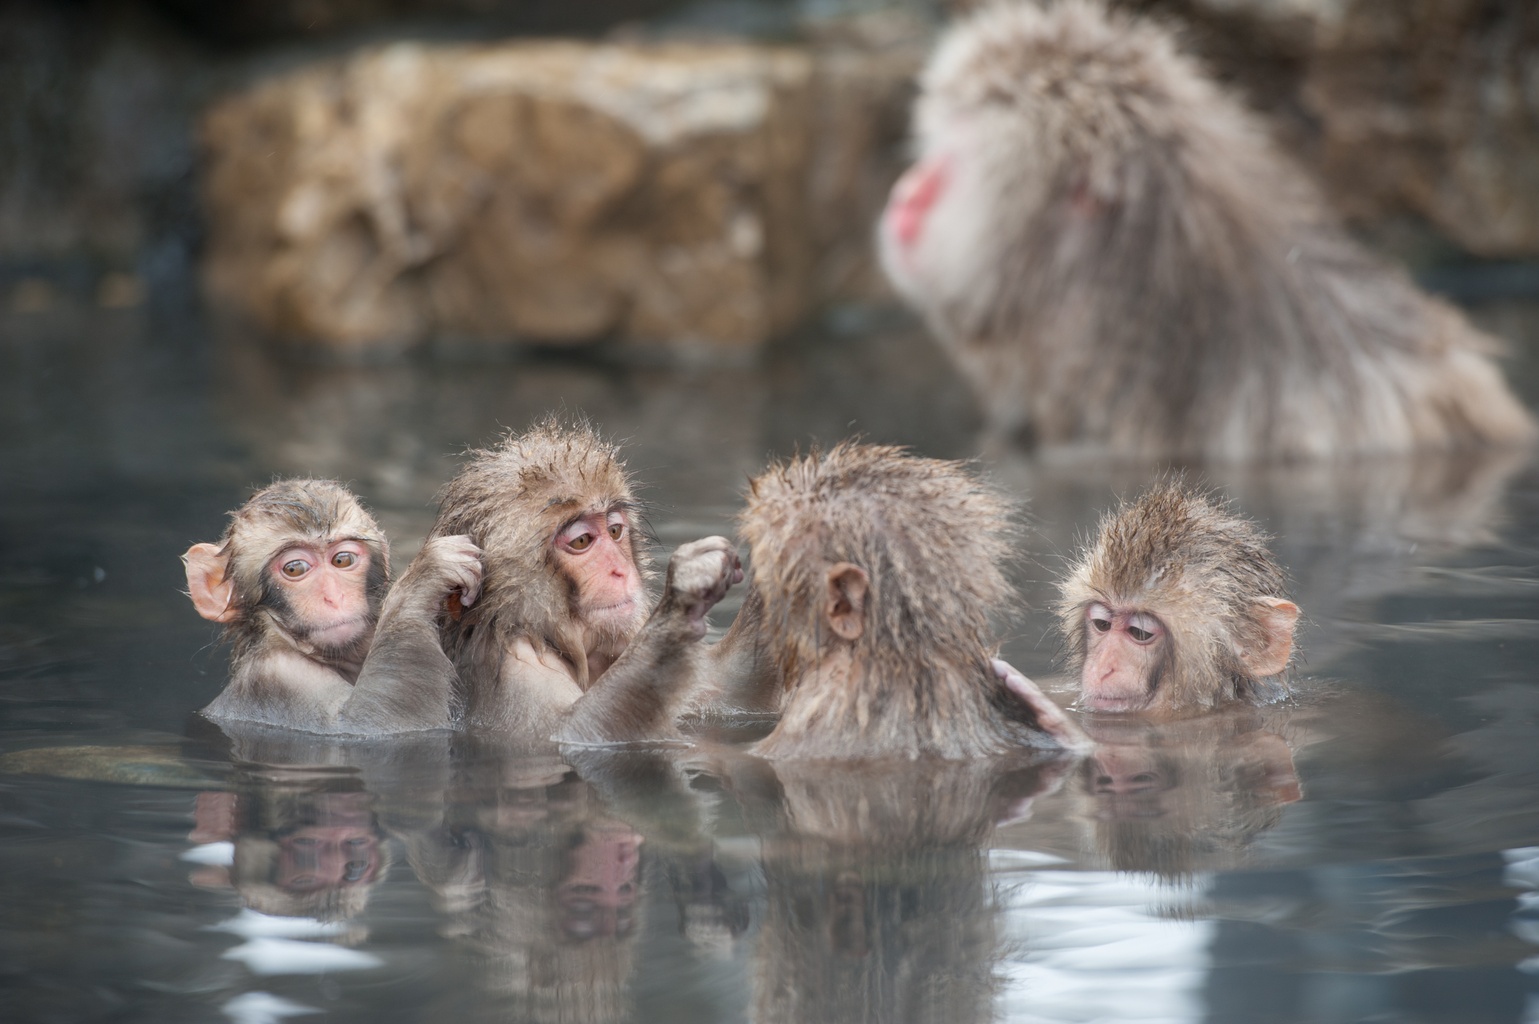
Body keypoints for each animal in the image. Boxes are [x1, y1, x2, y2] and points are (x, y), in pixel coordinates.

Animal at [183, 478, 483, 733]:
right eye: (294, 568)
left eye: (342, 560)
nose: (333, 596)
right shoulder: (279, 676)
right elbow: (367, 723)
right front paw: (427, 572)